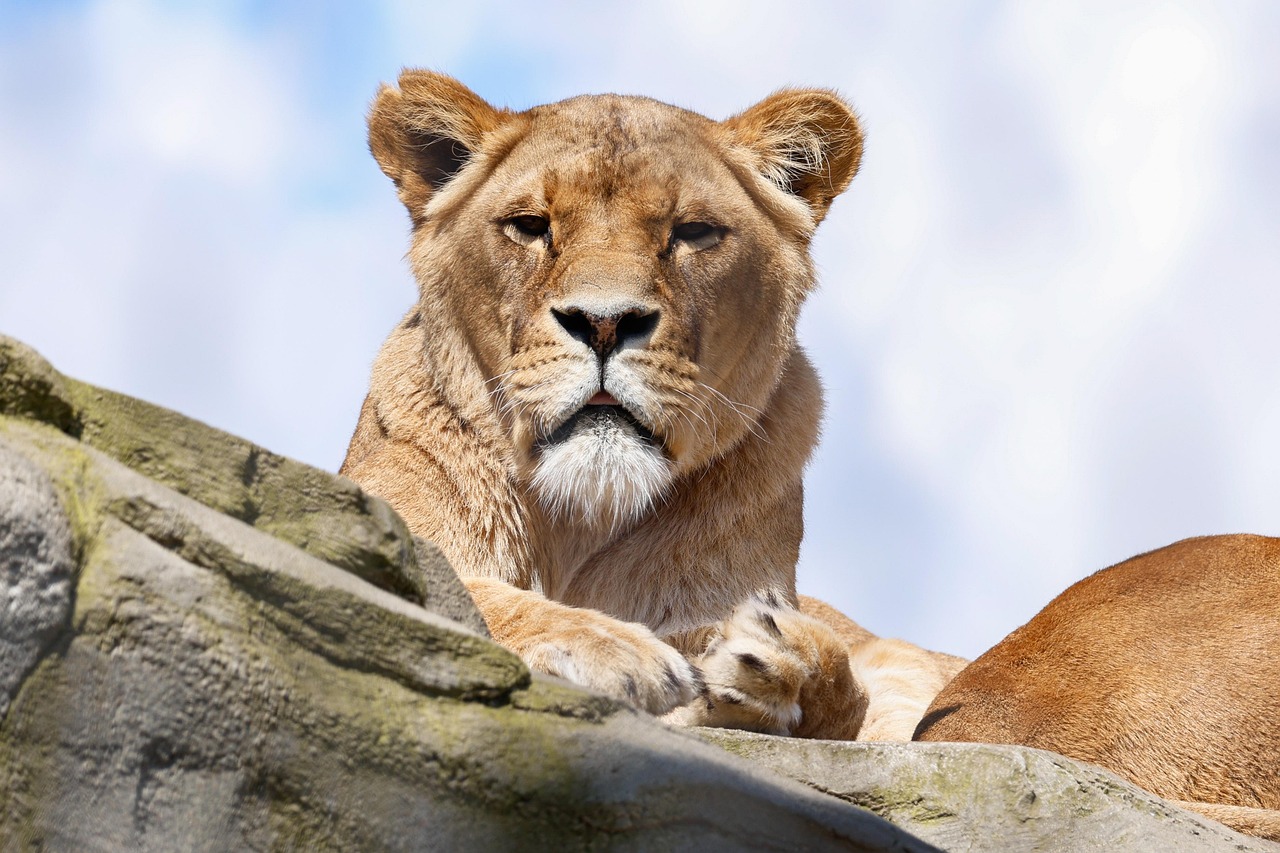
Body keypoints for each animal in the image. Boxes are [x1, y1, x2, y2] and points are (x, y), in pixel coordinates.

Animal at [339, 69, 964, 741]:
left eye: (691, 232)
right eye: (530, 225)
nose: (605, 323)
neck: (580, 520)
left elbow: (846, 696)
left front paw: (778, 663)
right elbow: (465, 589)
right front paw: (613, 646)